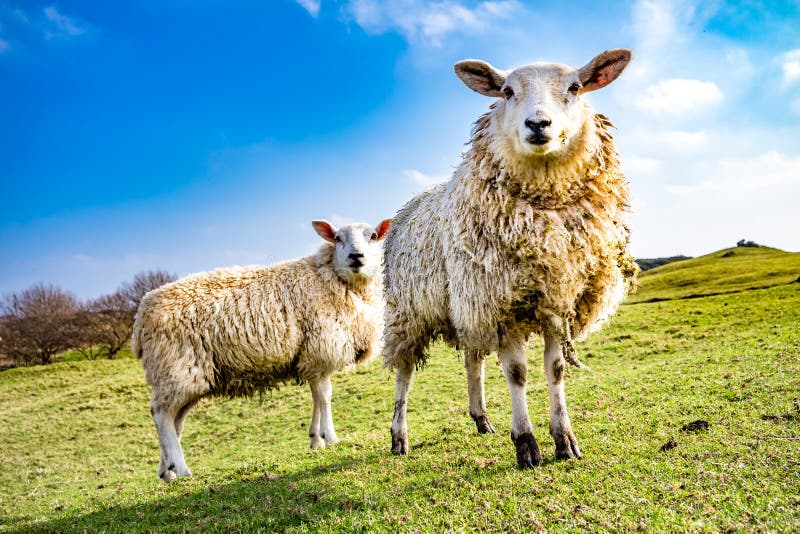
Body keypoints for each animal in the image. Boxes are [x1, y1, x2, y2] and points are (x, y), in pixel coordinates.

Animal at [132, 218, 392, 482]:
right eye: (338, 238)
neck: (331, 278)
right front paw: (329, 437)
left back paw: (168, 470)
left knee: (175, 421)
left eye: (373, 236)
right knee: (162, 416)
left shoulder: (309, 357)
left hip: (184, 375)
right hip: (176, 368)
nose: (356, 256)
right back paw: (181, 468)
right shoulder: (321, 351)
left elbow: (316, 397)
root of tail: (140, 318)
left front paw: (315, 439)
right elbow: (325, 396)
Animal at [383, 49, 637, 468]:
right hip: (410, 313)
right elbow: (517, 372)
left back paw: (481, 419)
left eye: (575, 87)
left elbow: (556, 369)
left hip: (466, 305)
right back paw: (399, 437)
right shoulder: (503, 306)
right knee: (404, 374)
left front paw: (564, 439)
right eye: (506, 91)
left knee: (473, 361)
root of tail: (408, 205)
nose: (538, 124)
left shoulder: (555, 301)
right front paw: (527, 443)